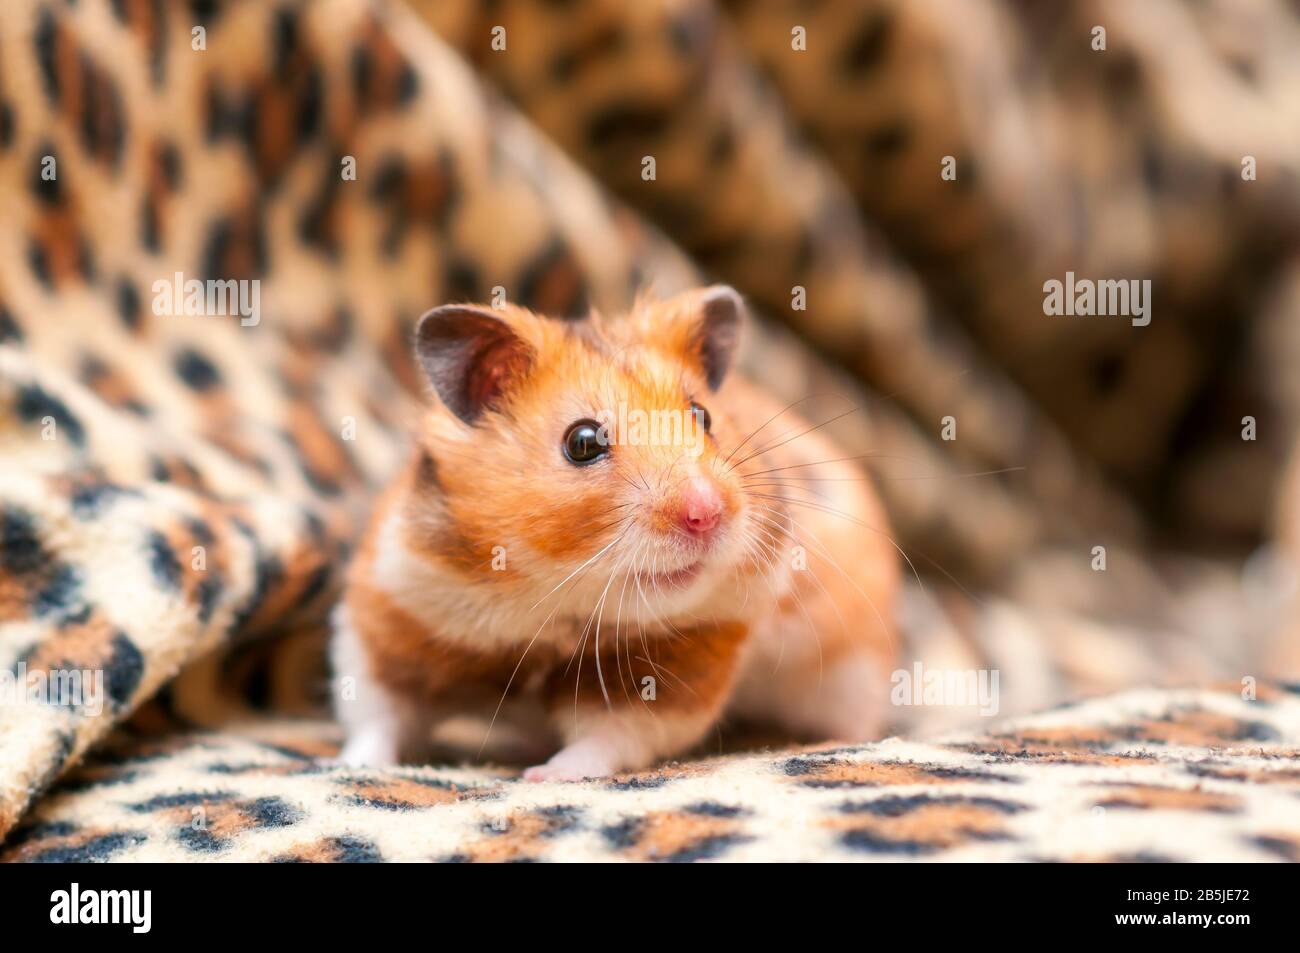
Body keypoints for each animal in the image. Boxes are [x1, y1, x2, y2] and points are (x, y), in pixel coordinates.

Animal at [331, 286, 898, 780]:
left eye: (704, 416)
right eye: (582, 442)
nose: (707, 513)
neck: (551, 601)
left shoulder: (681, 665)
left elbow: (607, 737)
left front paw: (545, 777)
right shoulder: (385, 620)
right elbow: (380, 716)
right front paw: (346, 766)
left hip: (853, 669)